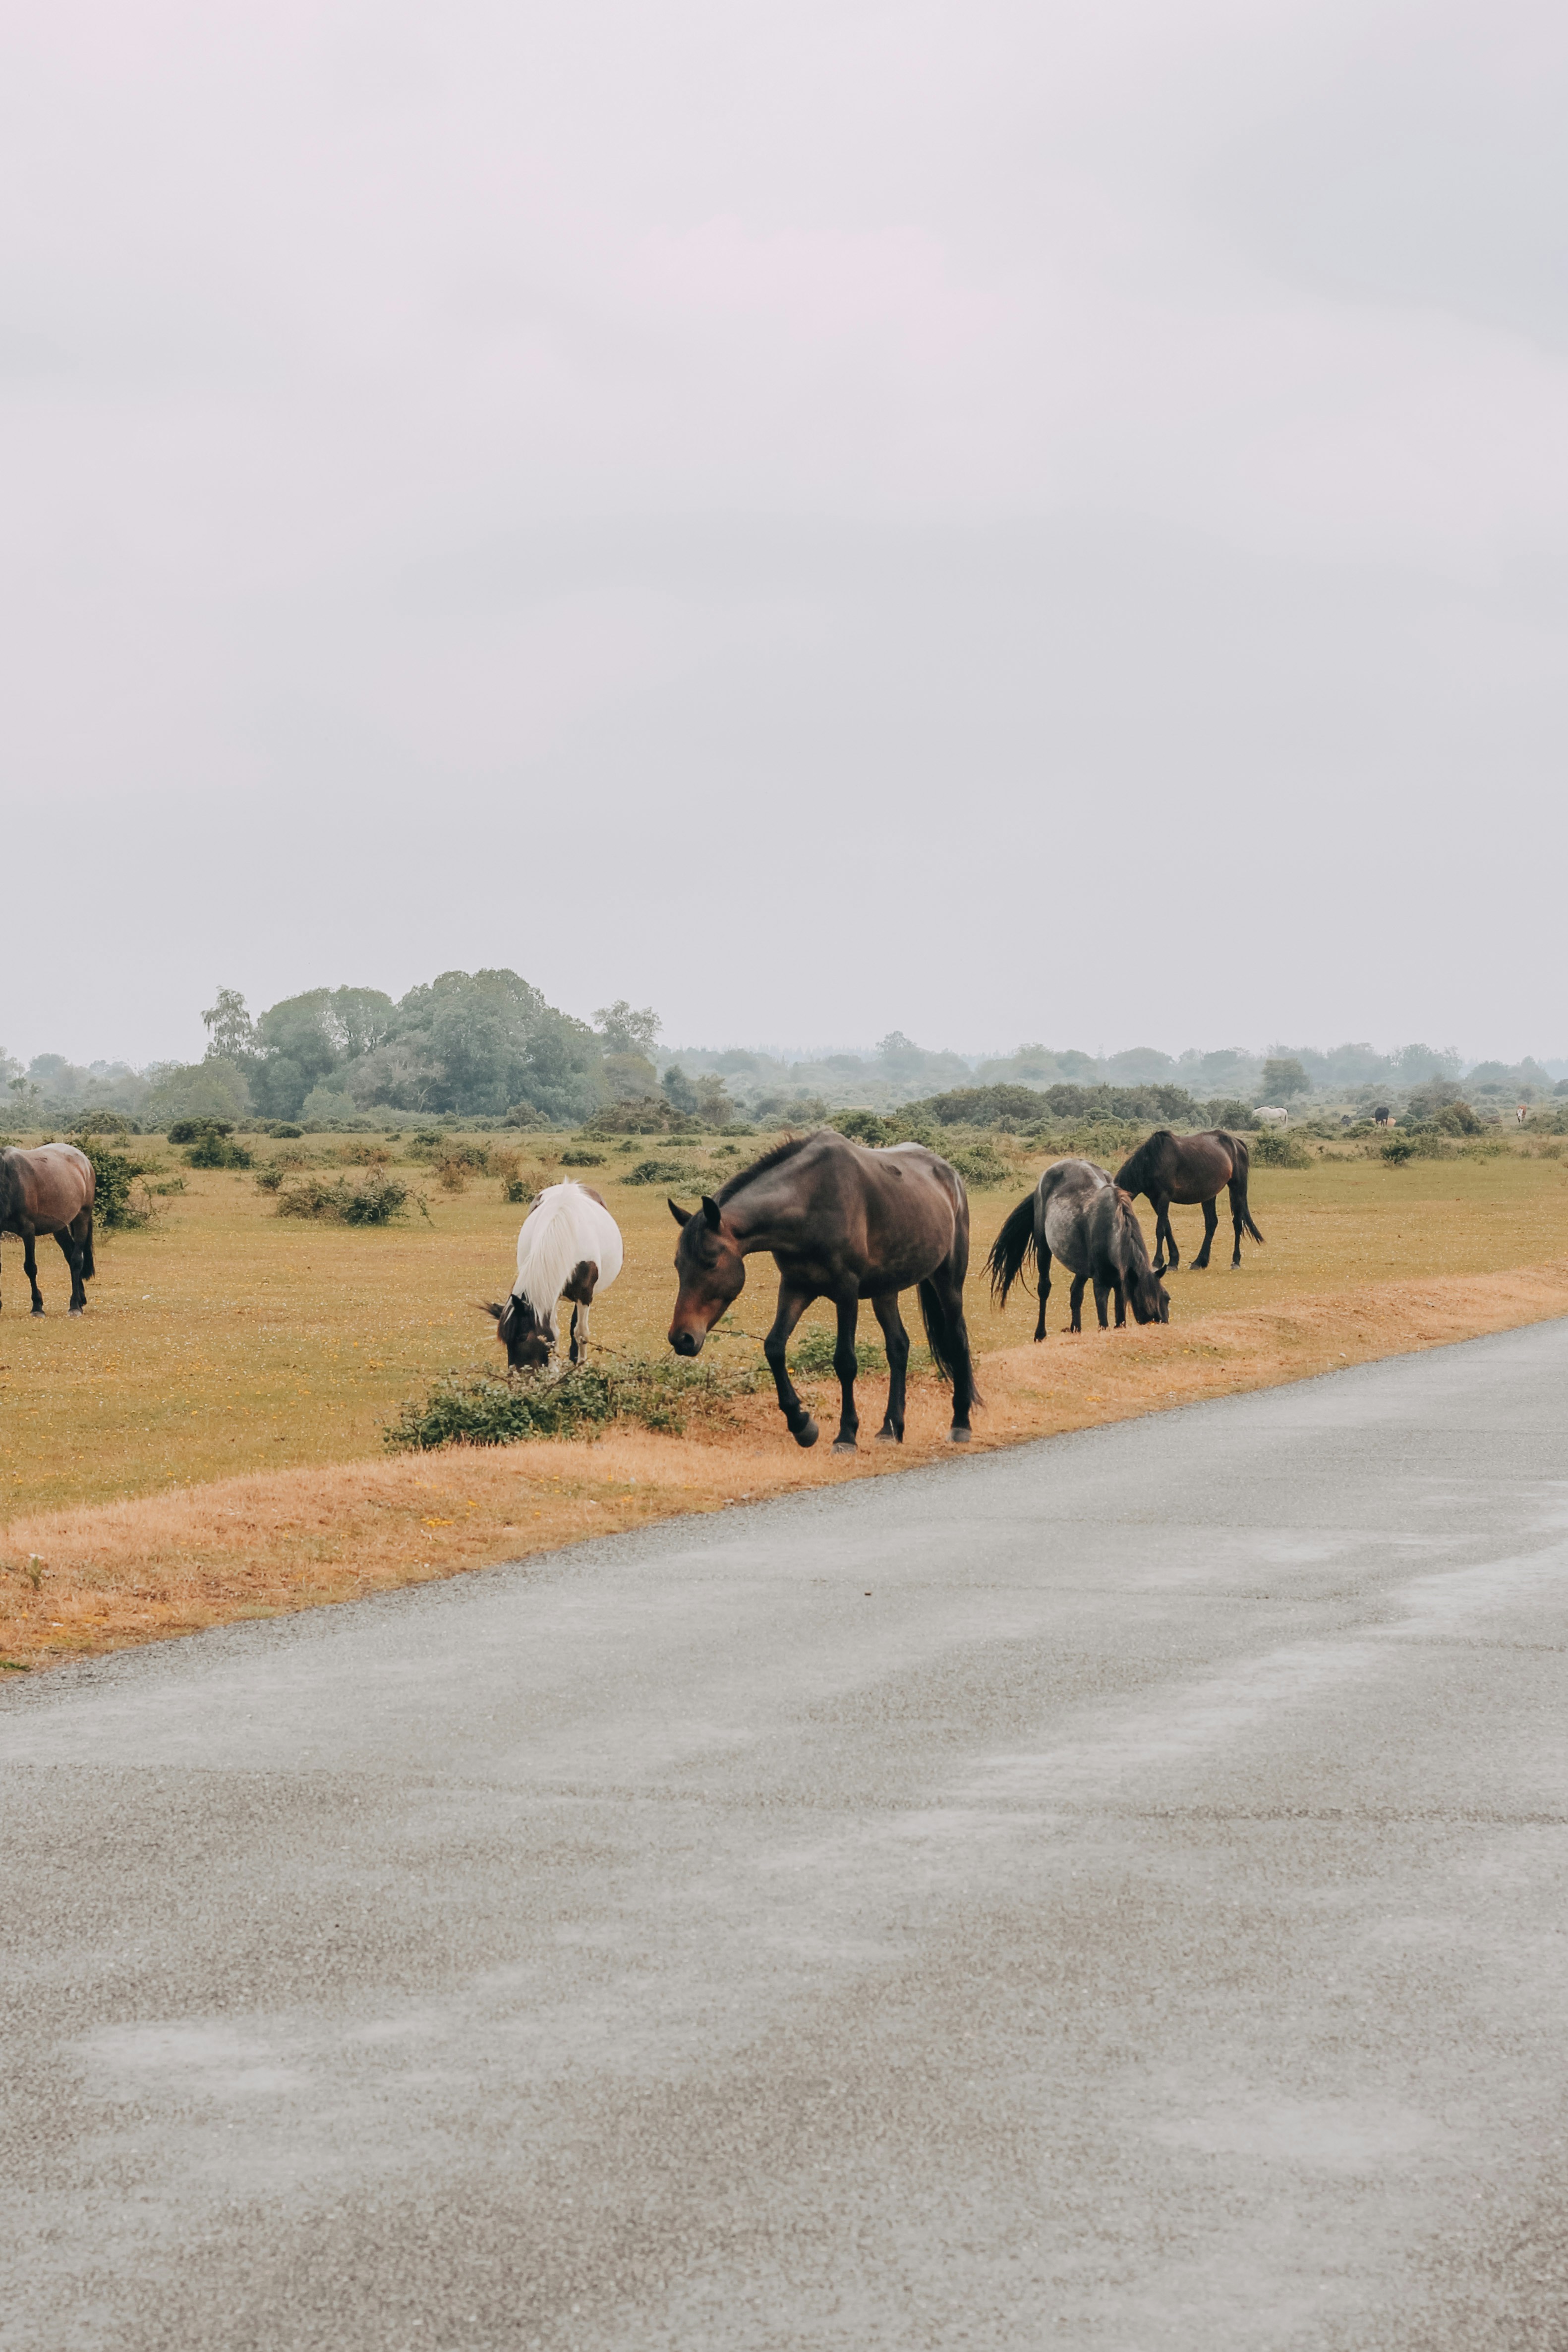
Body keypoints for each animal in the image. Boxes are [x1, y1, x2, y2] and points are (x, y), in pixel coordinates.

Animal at [0, 1143, 96, 1315]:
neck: (9, 1179)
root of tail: (84, 1161)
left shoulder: (28, 1231)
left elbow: (30, 1267)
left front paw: (37, 1307)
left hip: (82, 1217)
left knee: (76, 1260)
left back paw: (74, 1305)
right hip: (60, 1227)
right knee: (70, 1255)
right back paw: (81, 1299)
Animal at [483, 1180, 623, 1370]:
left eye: (522, 1337)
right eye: (506, 1342)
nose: (516, 1377)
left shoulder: (585, 1294)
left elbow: (581, 1333)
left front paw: (580, 1367)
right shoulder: (550, 1292)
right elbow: (554, 1333)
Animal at [666, 1129, 980, 1452]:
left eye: (710, 1262)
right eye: (678, 1264)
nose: (682, 1338)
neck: (809, 1203)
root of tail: (950, 1174)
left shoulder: (847, 1291)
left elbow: (845, 1362)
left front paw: (846, 1435)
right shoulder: (795, 1287)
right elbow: (774, 1348)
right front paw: (802, 1425)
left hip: (948, 1280)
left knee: (957, 1341)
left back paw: (960, 1424)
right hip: (885, 1291)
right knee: (898, 1348)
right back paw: (891, 1429)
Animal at [987, 1158, 1169, 1338]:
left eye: (1166, 1298)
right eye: (1145, 1304)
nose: (1163, 1324)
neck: (1111, 1230)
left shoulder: (1121, 1283)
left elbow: (1119, 1321)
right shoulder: (1101, 1284)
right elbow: (1104, 1324)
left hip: (1081, 1266)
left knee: (1076, 1293)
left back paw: (1076, 1329)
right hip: (1043, 1248)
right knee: (1044, 1288)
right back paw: (1040, 1334)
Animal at [1112, 1127, 1264, 1275]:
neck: (1151, 1162)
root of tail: (1237, 1142)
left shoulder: (1163, 1197)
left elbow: (1160, 1229)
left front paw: (1157, 1262)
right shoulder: (1155, 1200)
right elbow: (1168, 1228)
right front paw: (1173, 1262)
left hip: (1237, 1189)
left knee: (1237, 1223)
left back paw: (1235, 1262)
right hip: (1209, 1196)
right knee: (1212, 1223)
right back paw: (1199, 1262)